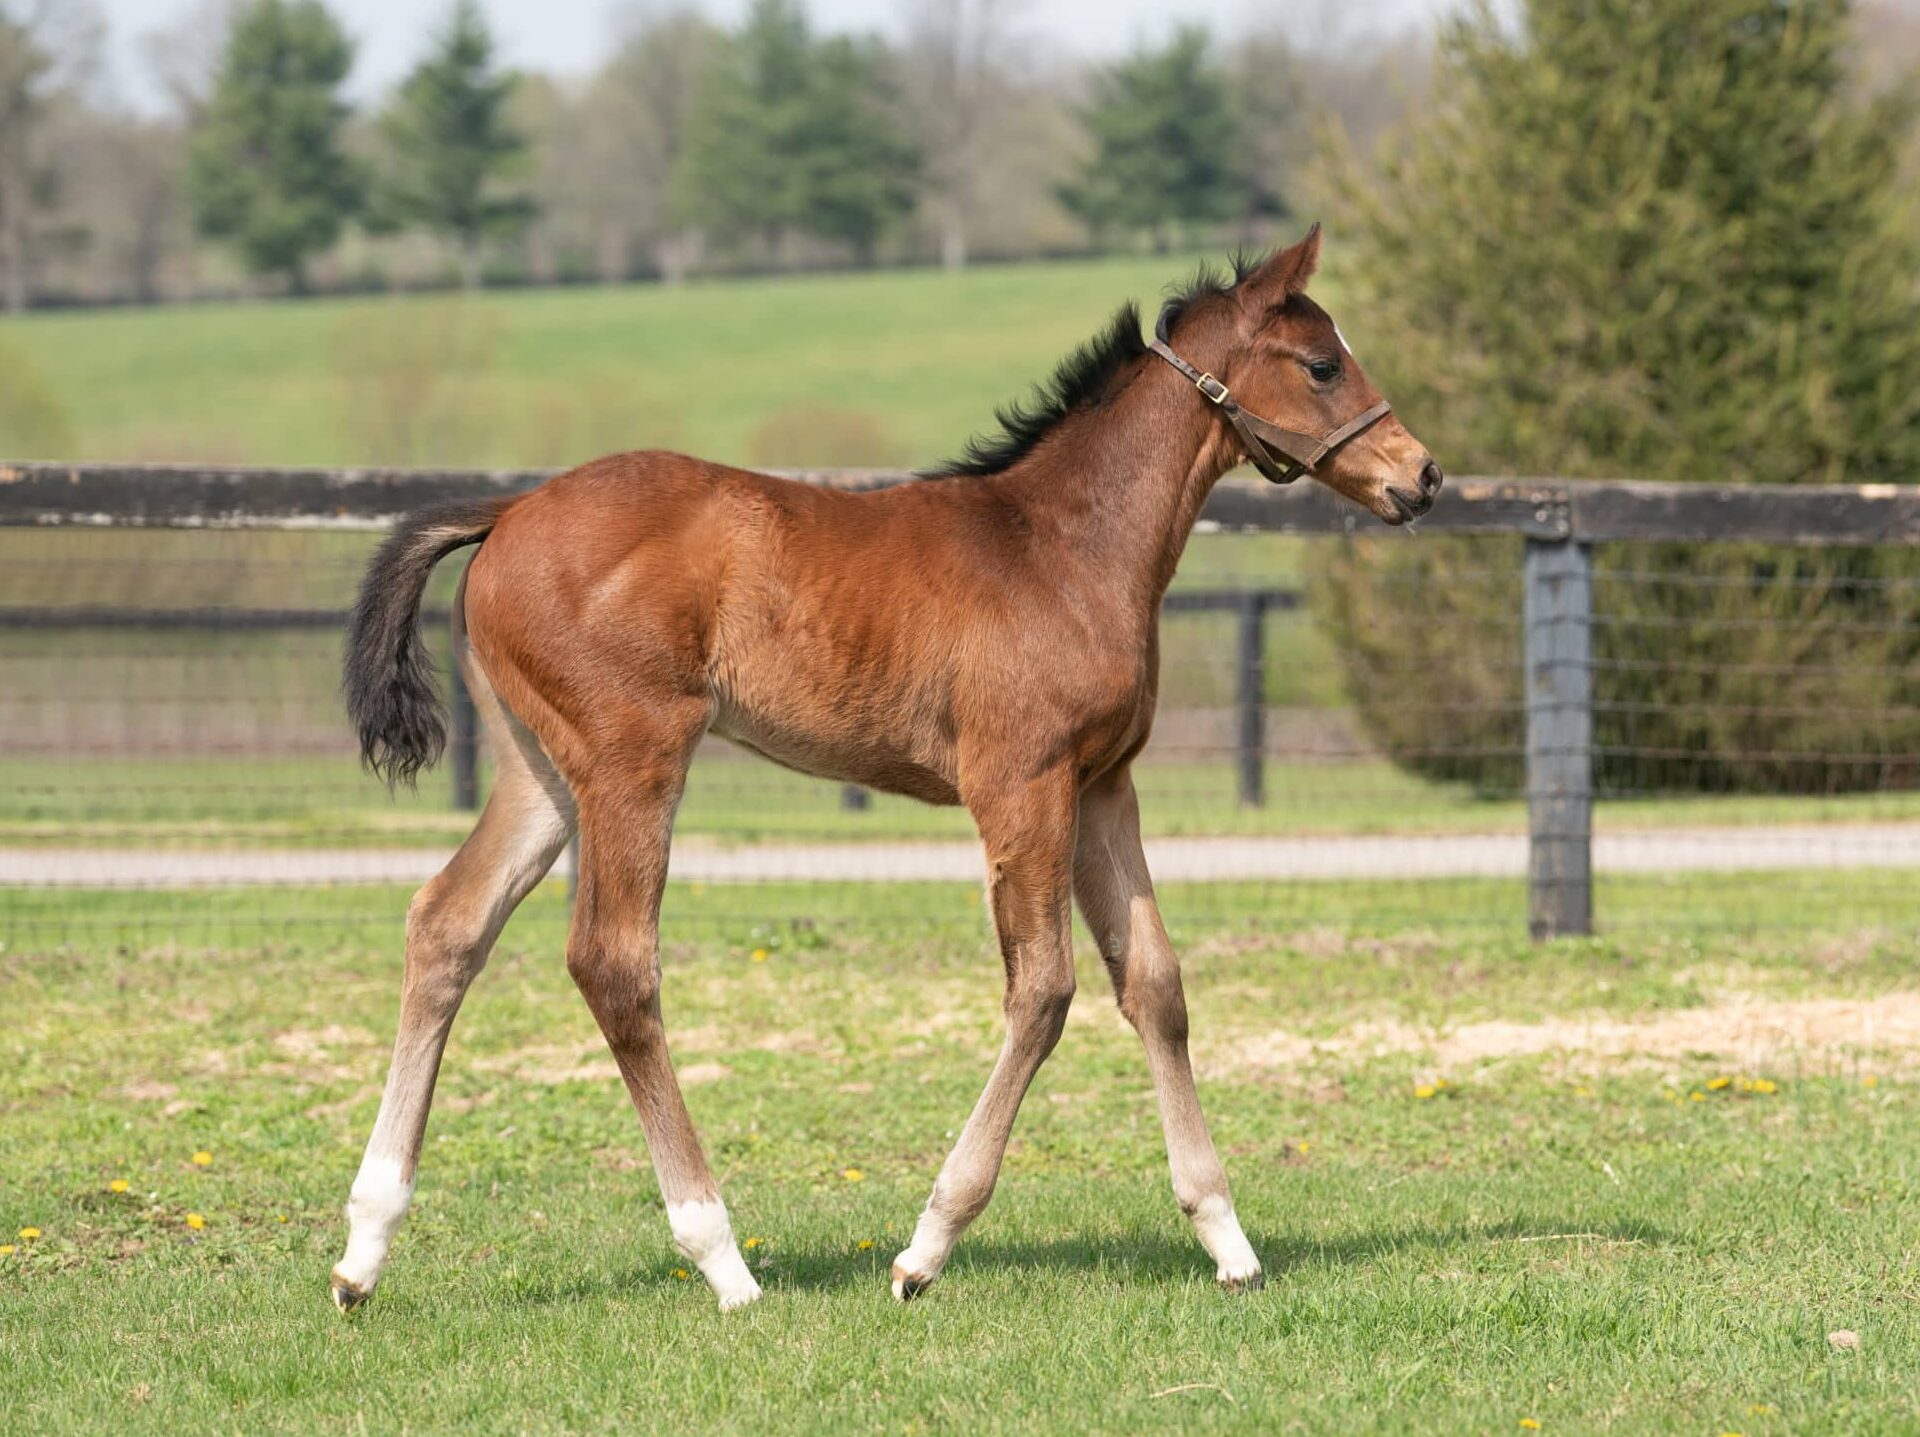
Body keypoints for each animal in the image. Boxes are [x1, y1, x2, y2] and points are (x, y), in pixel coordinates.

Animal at [331, 224, 1442, 1314]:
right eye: (1322, 363)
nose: (1423, 475)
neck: (1063, 547)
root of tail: (509, 511)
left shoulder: (1102, 785)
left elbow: (1154, 983)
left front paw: (1228, 1239)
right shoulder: (1021, 784)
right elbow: (1044, 990)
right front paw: (925, 1248)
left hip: (542, 771)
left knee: (448, 924)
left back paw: (363, 1250)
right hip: (630, 759)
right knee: (613, 961)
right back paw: (722, 1260)